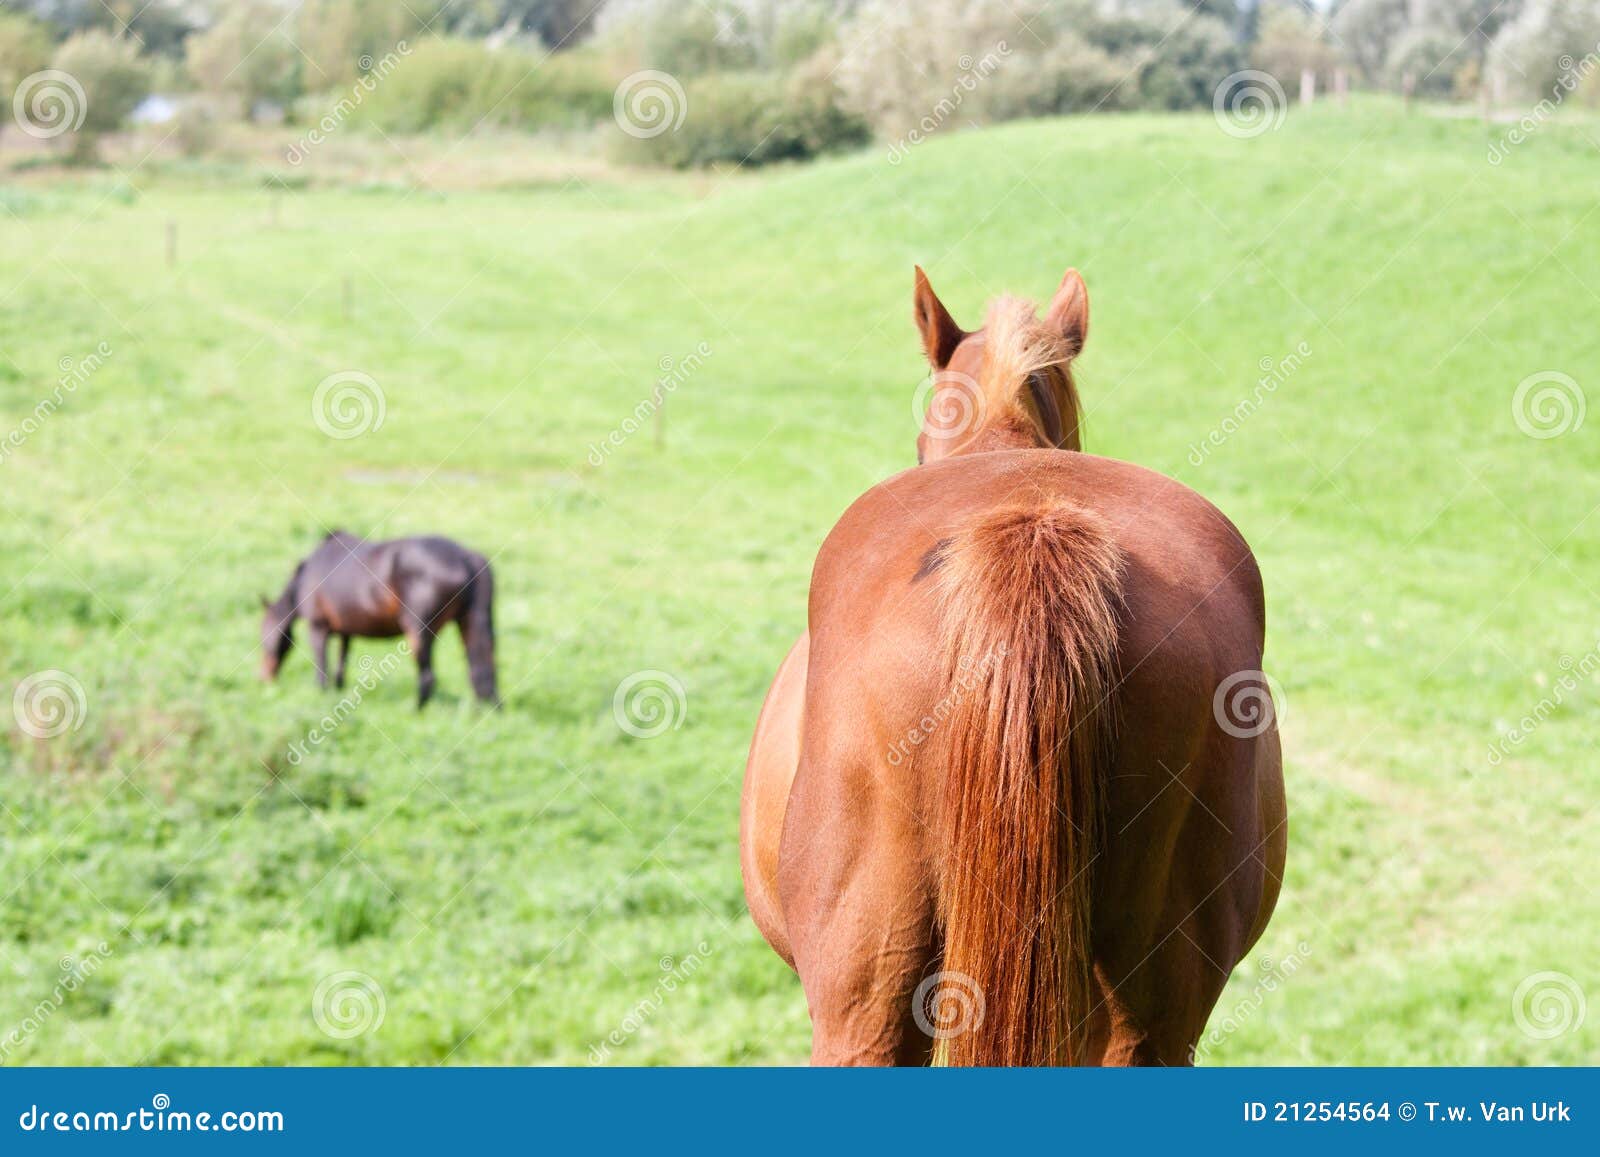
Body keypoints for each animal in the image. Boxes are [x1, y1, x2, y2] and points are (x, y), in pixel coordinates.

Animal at [261, 531, 499, 709]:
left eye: (262, 637)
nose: (264, 678)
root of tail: (467, 557)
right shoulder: (346, 630)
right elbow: (341, 663)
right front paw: (338, 690)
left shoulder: (318, 627)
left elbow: (322, 666)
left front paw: (321, 693)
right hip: (471, 623)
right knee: (483, 670)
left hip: (420, 631)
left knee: (428, 677)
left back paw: (415, 711)